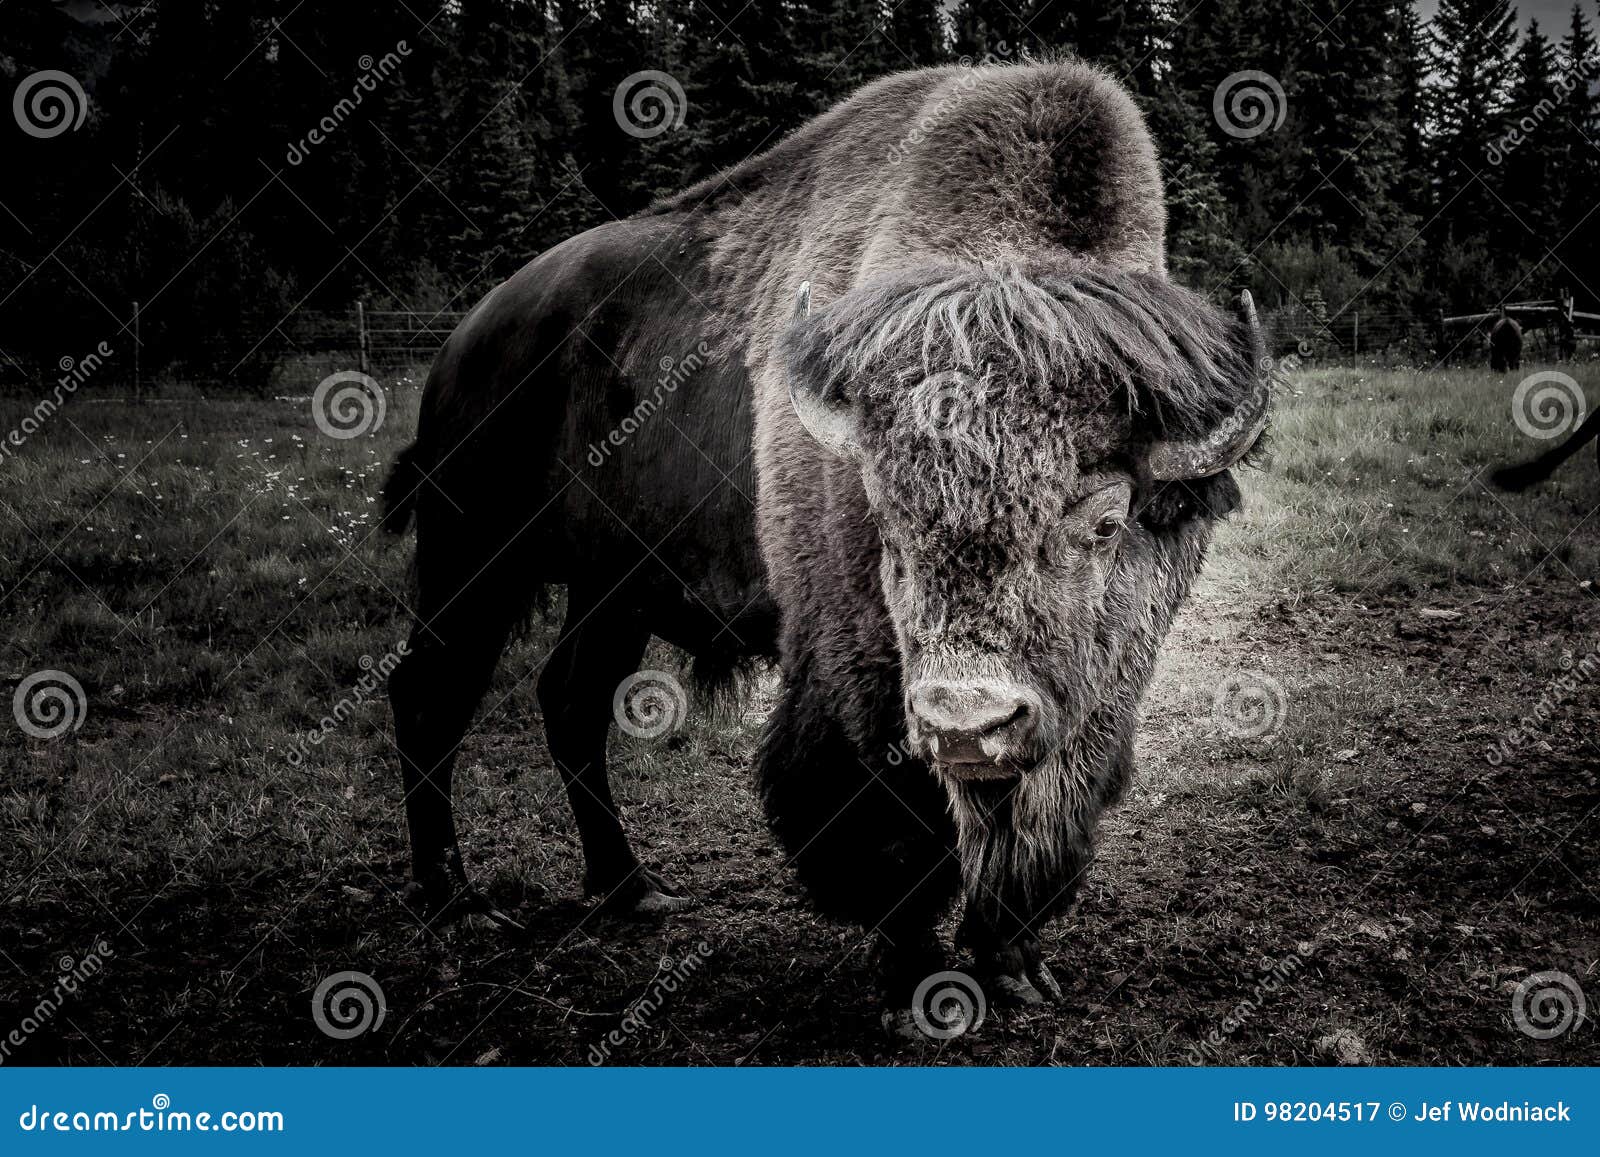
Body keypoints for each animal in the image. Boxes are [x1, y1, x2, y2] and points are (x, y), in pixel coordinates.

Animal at [383, 60, 1269, 1029]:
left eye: (1106, 522)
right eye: (883, 514)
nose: (967, 722)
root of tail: (468, 336)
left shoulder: (1092, 704)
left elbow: (1027, 827)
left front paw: (1016, 966)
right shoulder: (858, 685)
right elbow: (892, 827)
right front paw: (918, 988)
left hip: (611, 589)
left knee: (571, 702)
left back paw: (633, 889)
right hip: (473, 556)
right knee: (431, 695)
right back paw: (459, 899)